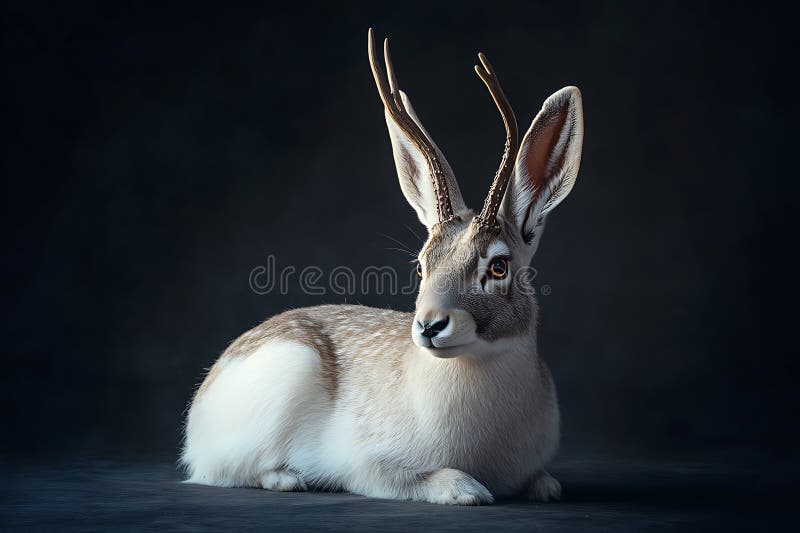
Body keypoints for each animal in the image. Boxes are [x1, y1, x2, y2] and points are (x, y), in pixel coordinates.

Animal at [181, 28, 584, 505]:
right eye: (421, 266)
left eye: (499, 267)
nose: (429, 326)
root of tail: (199, 412)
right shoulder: (367, 467)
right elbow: (412, 478)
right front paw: (467, 489)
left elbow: (544, 481)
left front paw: (546, 487)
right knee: (224, 470)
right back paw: (287, 478)